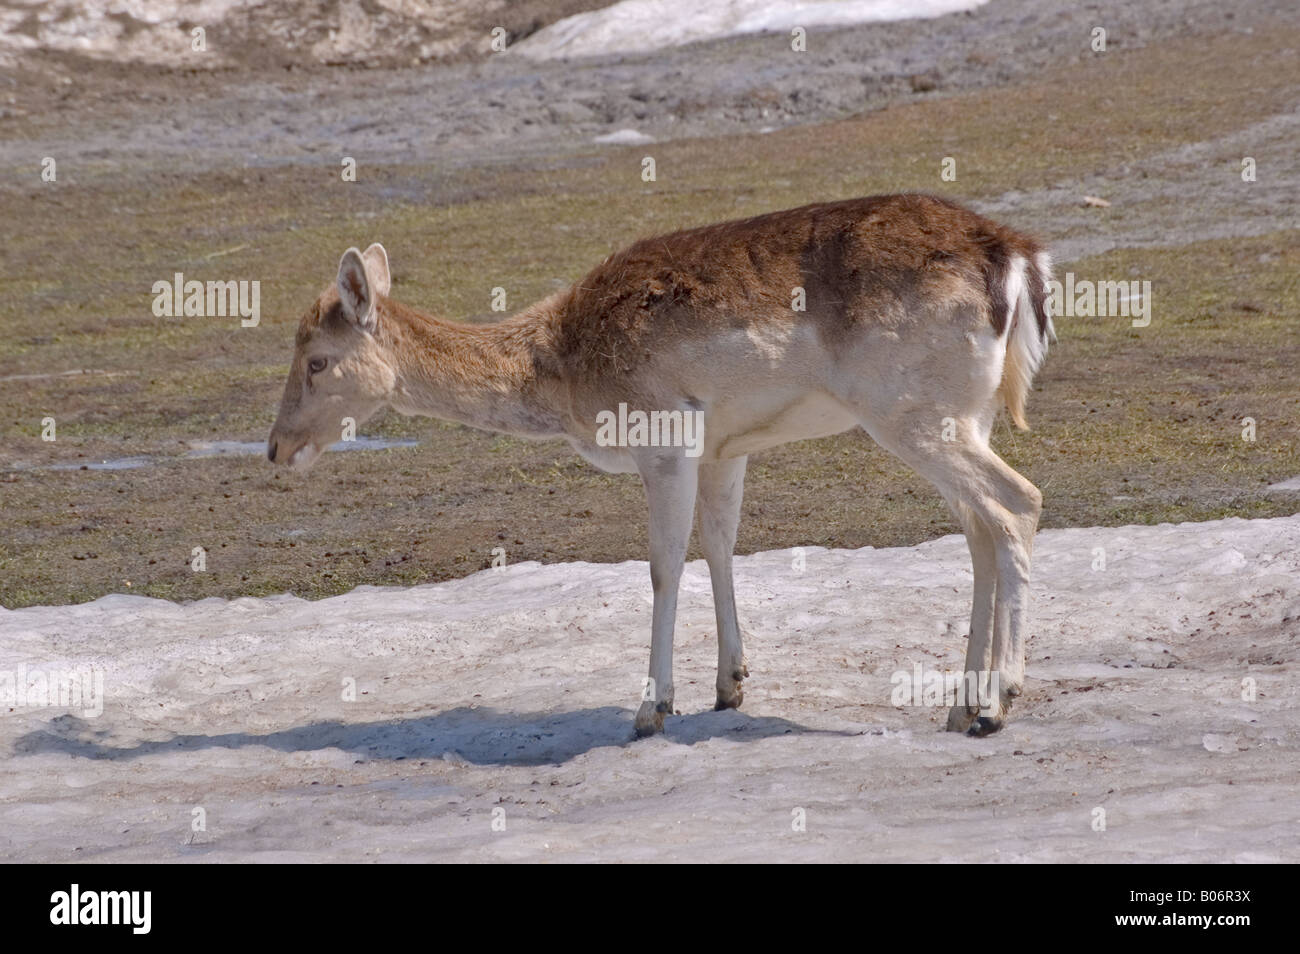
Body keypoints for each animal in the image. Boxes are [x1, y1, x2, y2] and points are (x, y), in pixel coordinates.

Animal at [268, 194, 1053, 739]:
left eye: (317, 361)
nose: (274, 448)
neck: (563, 371)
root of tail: (1017, 261)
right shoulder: (724, 448)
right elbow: (721, 545)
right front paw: (729, 685)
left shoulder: (663, 434)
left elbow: (662, 566)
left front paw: (652, 708)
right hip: (967, 411)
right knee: (980, 531)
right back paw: (960, 705)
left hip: (910, 410)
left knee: (1018, 501)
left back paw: (998, 703)